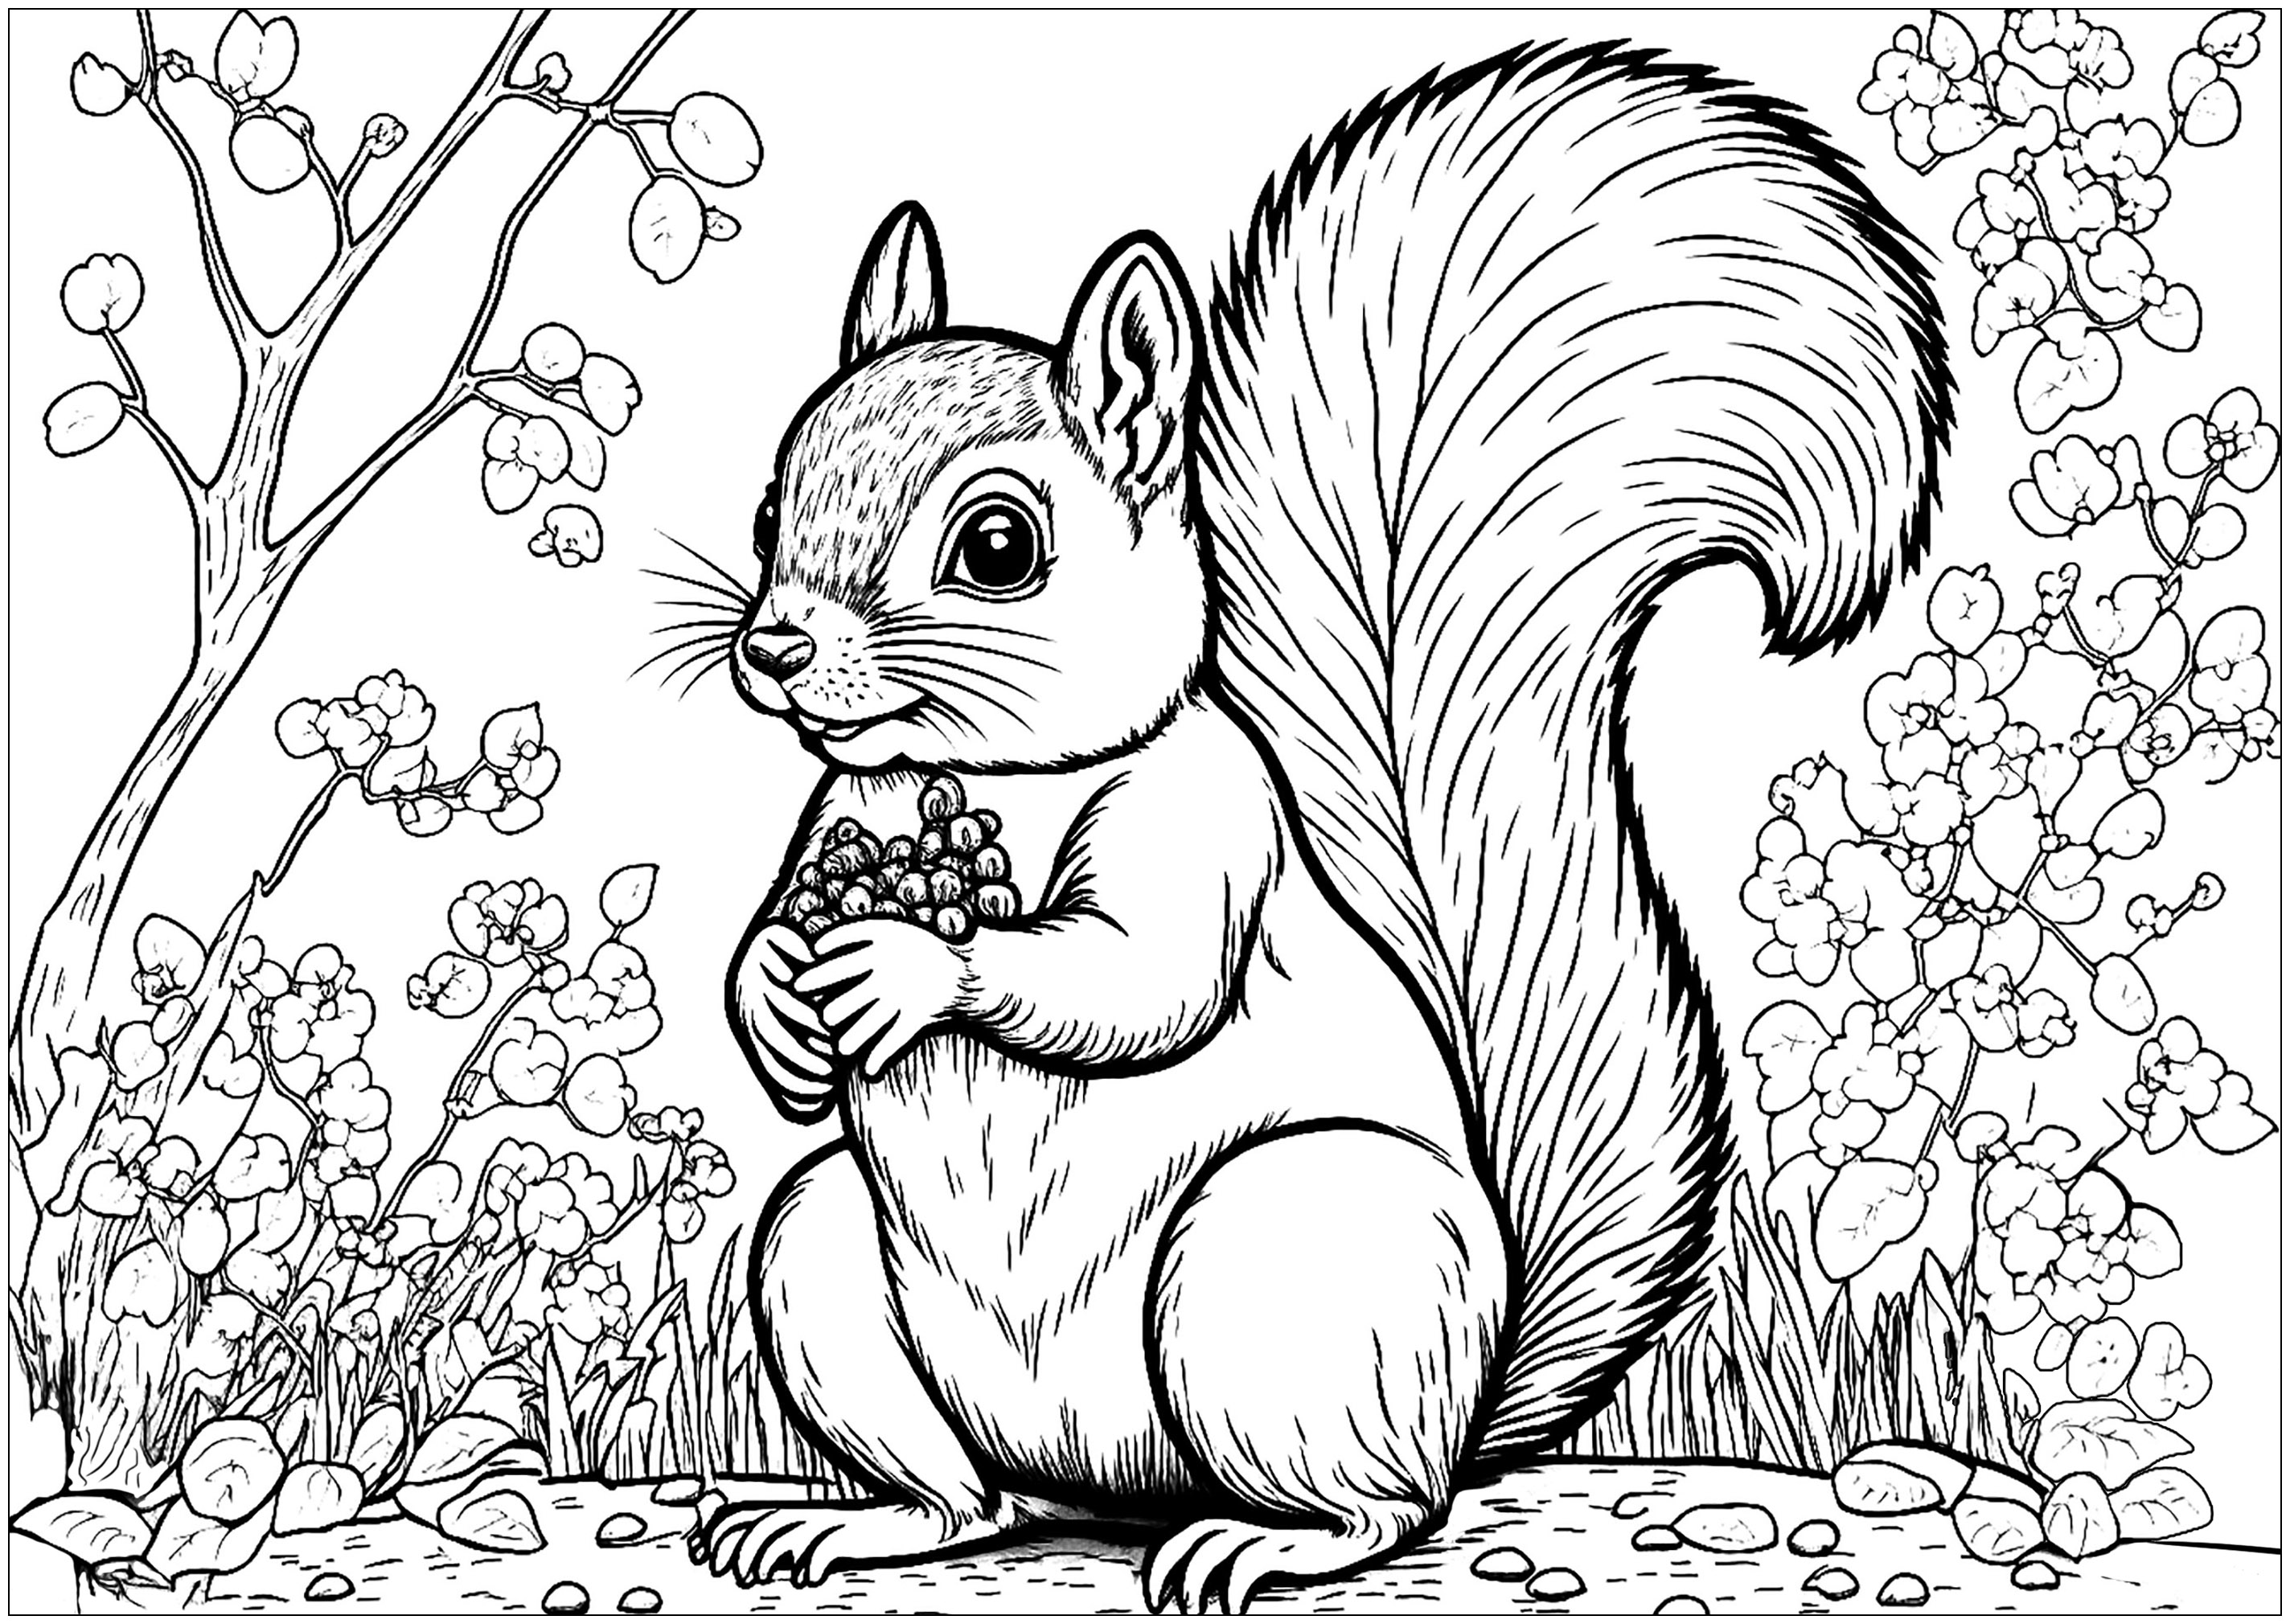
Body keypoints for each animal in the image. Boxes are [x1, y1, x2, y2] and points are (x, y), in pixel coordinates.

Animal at [704, 39, 1950, 1612]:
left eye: (999, 547)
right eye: (767, 508)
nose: (773, 649)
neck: (987, 780)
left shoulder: (1205, 814)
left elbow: (1139, 975)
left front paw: (909, 970)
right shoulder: (829, 820)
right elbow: (771, 942)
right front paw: (778, 1002)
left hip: (1280, 1257)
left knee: (1386, 1508)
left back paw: (1261, 1540)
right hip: (830, 1263)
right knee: (965, 1494)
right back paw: (861, 1521)